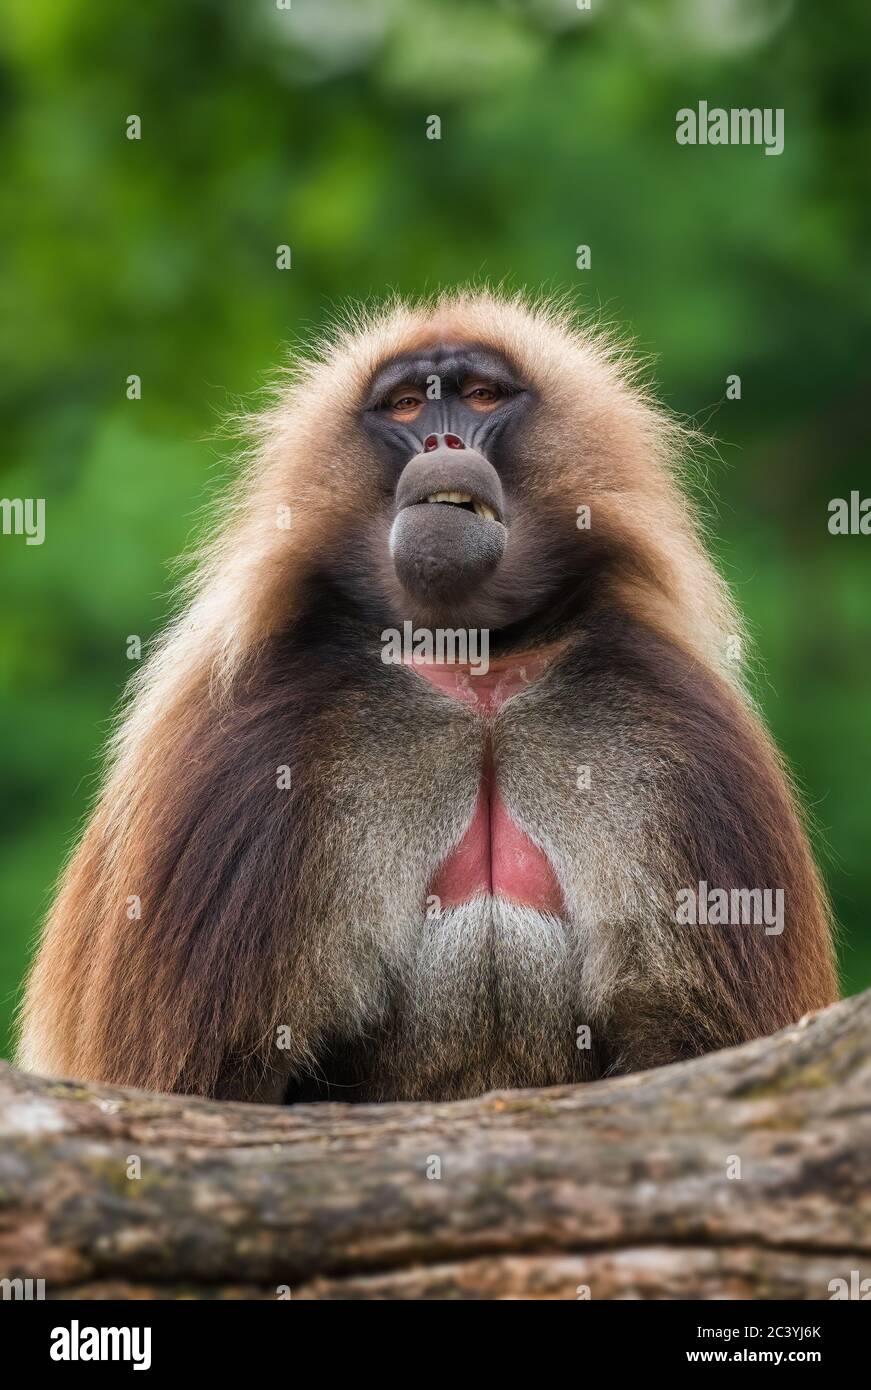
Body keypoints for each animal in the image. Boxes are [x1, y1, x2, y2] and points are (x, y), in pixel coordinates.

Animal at [16, 291, 838, 1103]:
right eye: (407, 404)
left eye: (480, 396)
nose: (440, 440)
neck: (476, 667)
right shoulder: (246, 754)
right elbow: (216, 1085)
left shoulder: (669, 729)